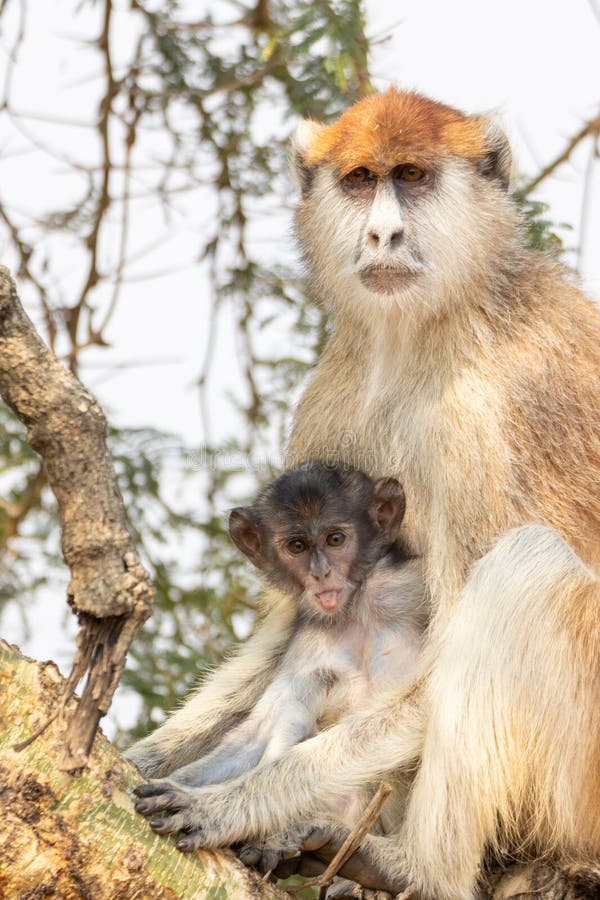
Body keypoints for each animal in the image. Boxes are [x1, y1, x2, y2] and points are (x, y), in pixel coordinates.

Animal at [161, 462, 426, 830]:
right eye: (297, 546)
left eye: (335, 539)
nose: (321, 574)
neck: (356, 608)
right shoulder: (311, 634)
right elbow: (253, 736)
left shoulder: (409, 586)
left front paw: (209, 811)